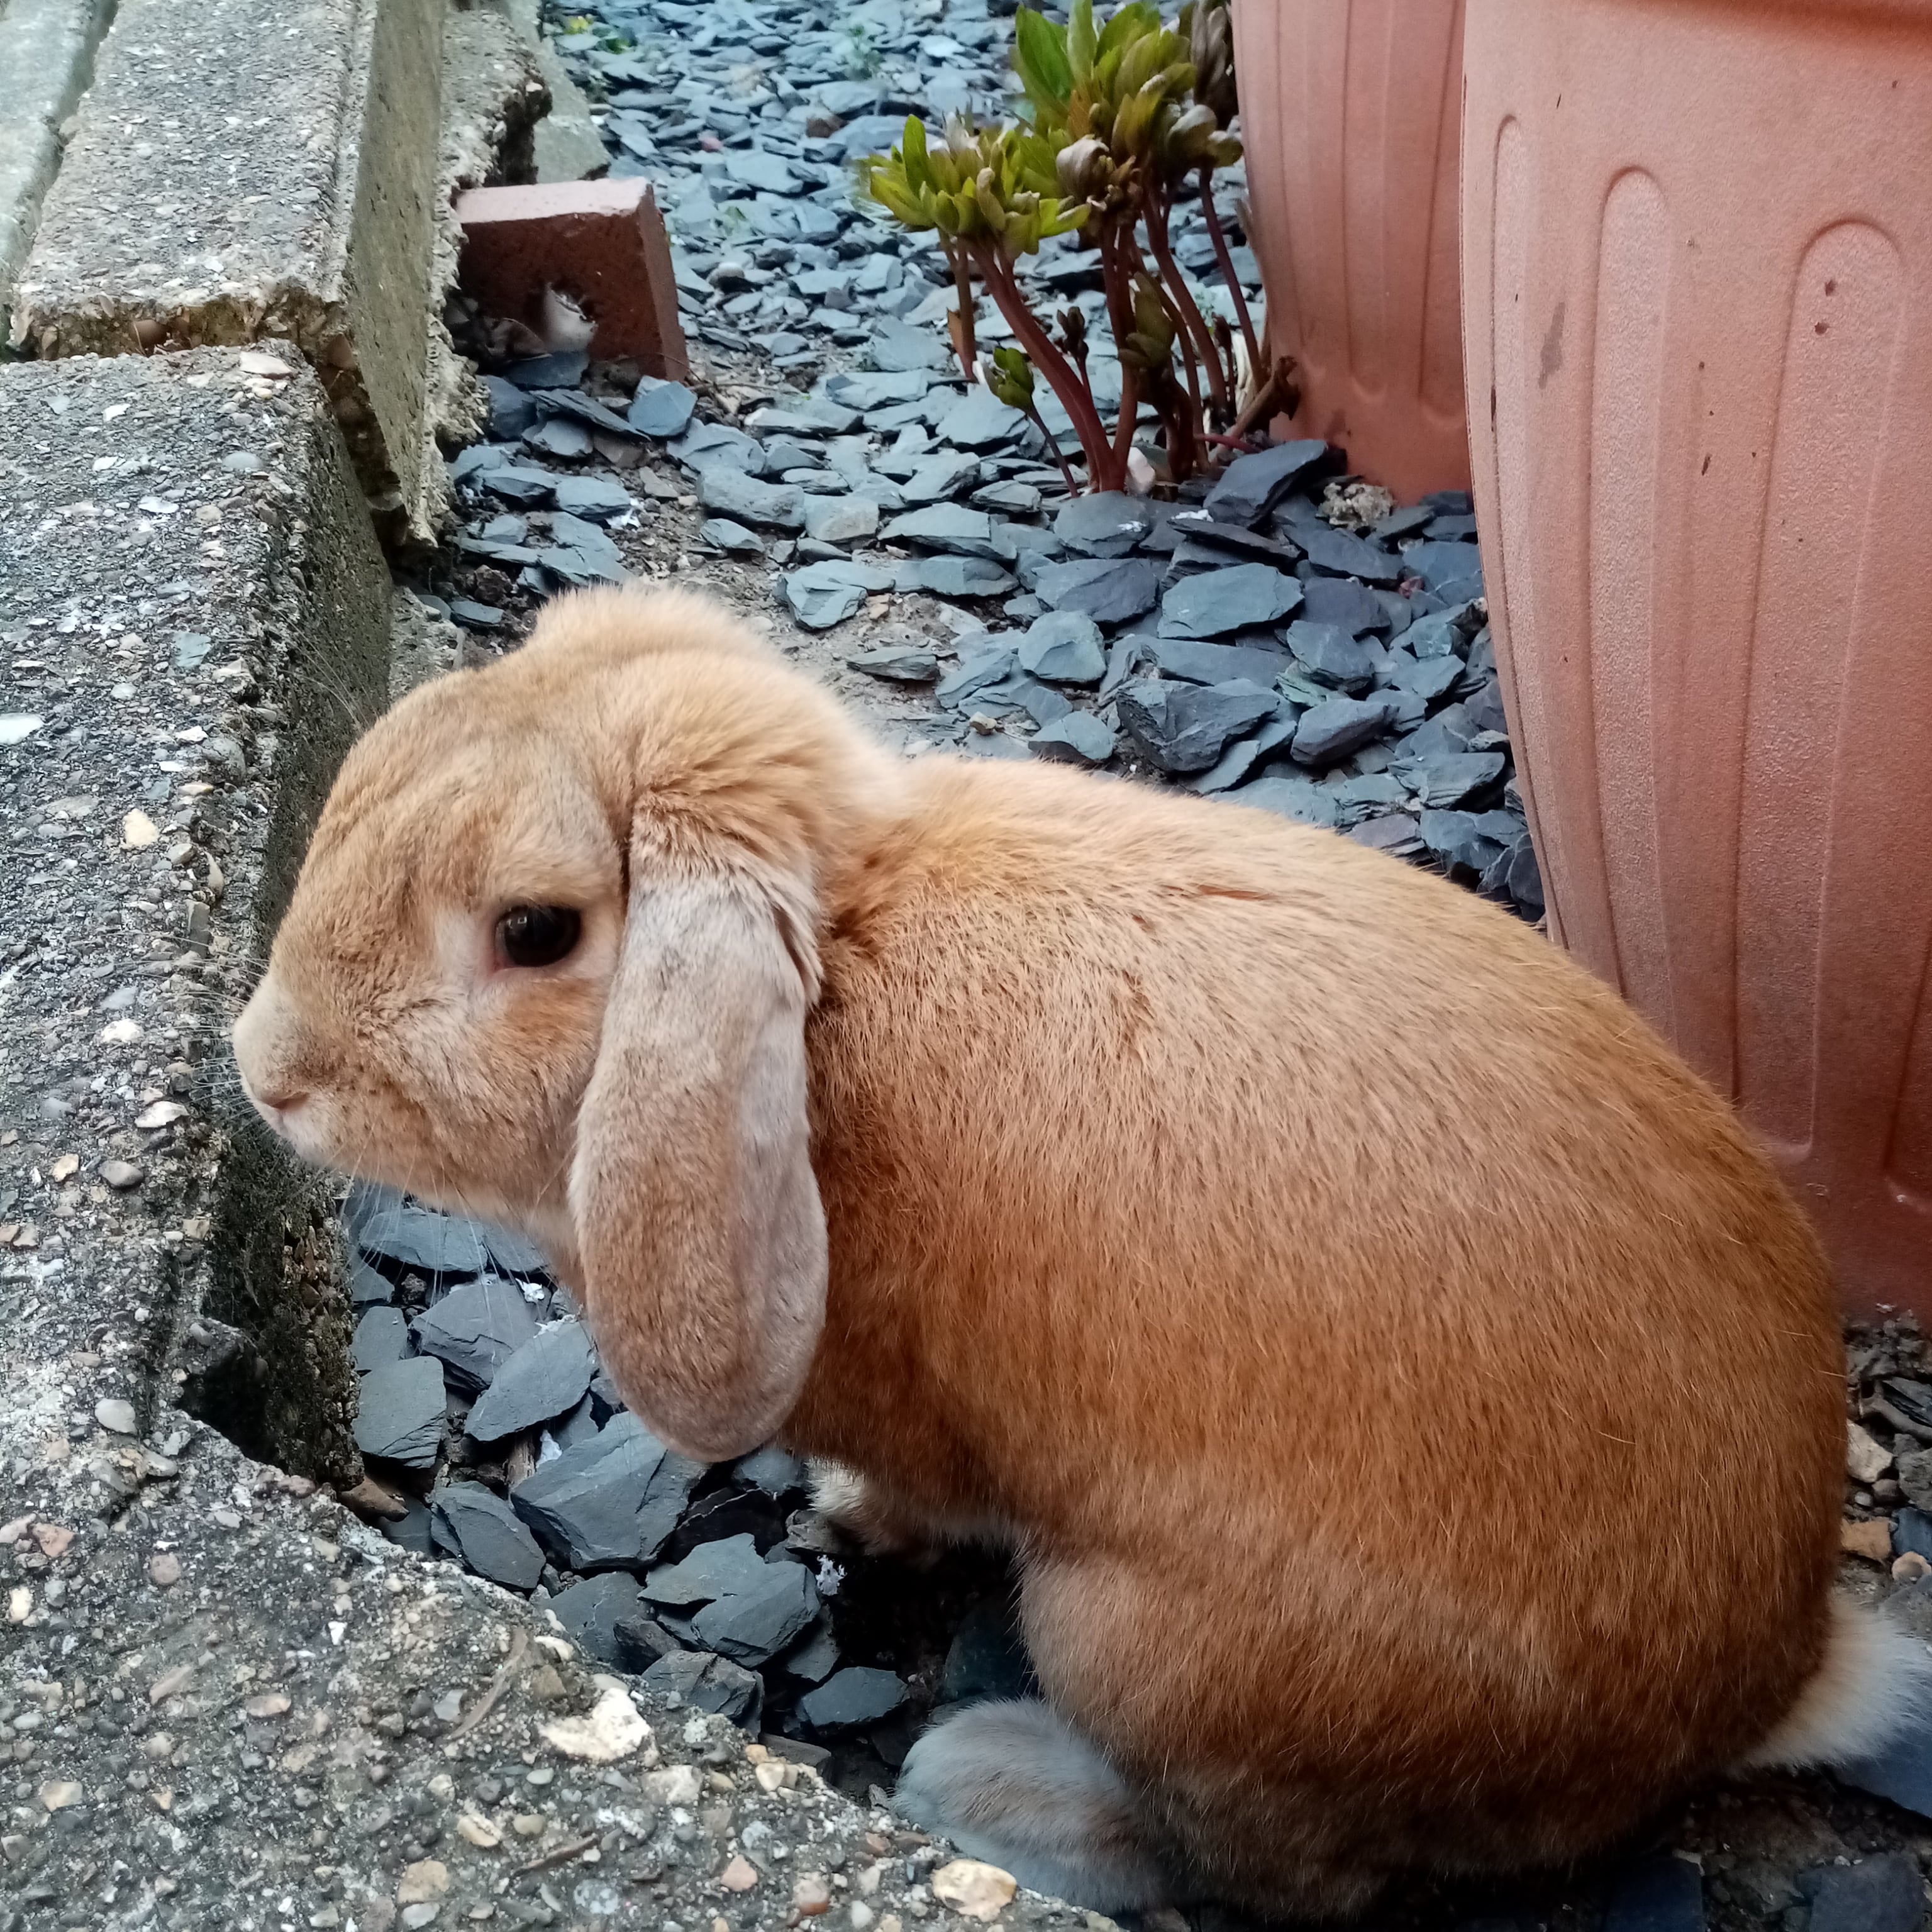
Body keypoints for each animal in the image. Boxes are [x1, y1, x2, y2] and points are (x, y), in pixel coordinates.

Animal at [233, 584, 1919, 1921]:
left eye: (533, 930)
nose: (267, 1069)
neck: (839, 977)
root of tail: (1759, 1678)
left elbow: (916, 1493)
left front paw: (848, 1517)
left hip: (1141, 1648)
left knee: (1269, 1871)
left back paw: (994, 1787)